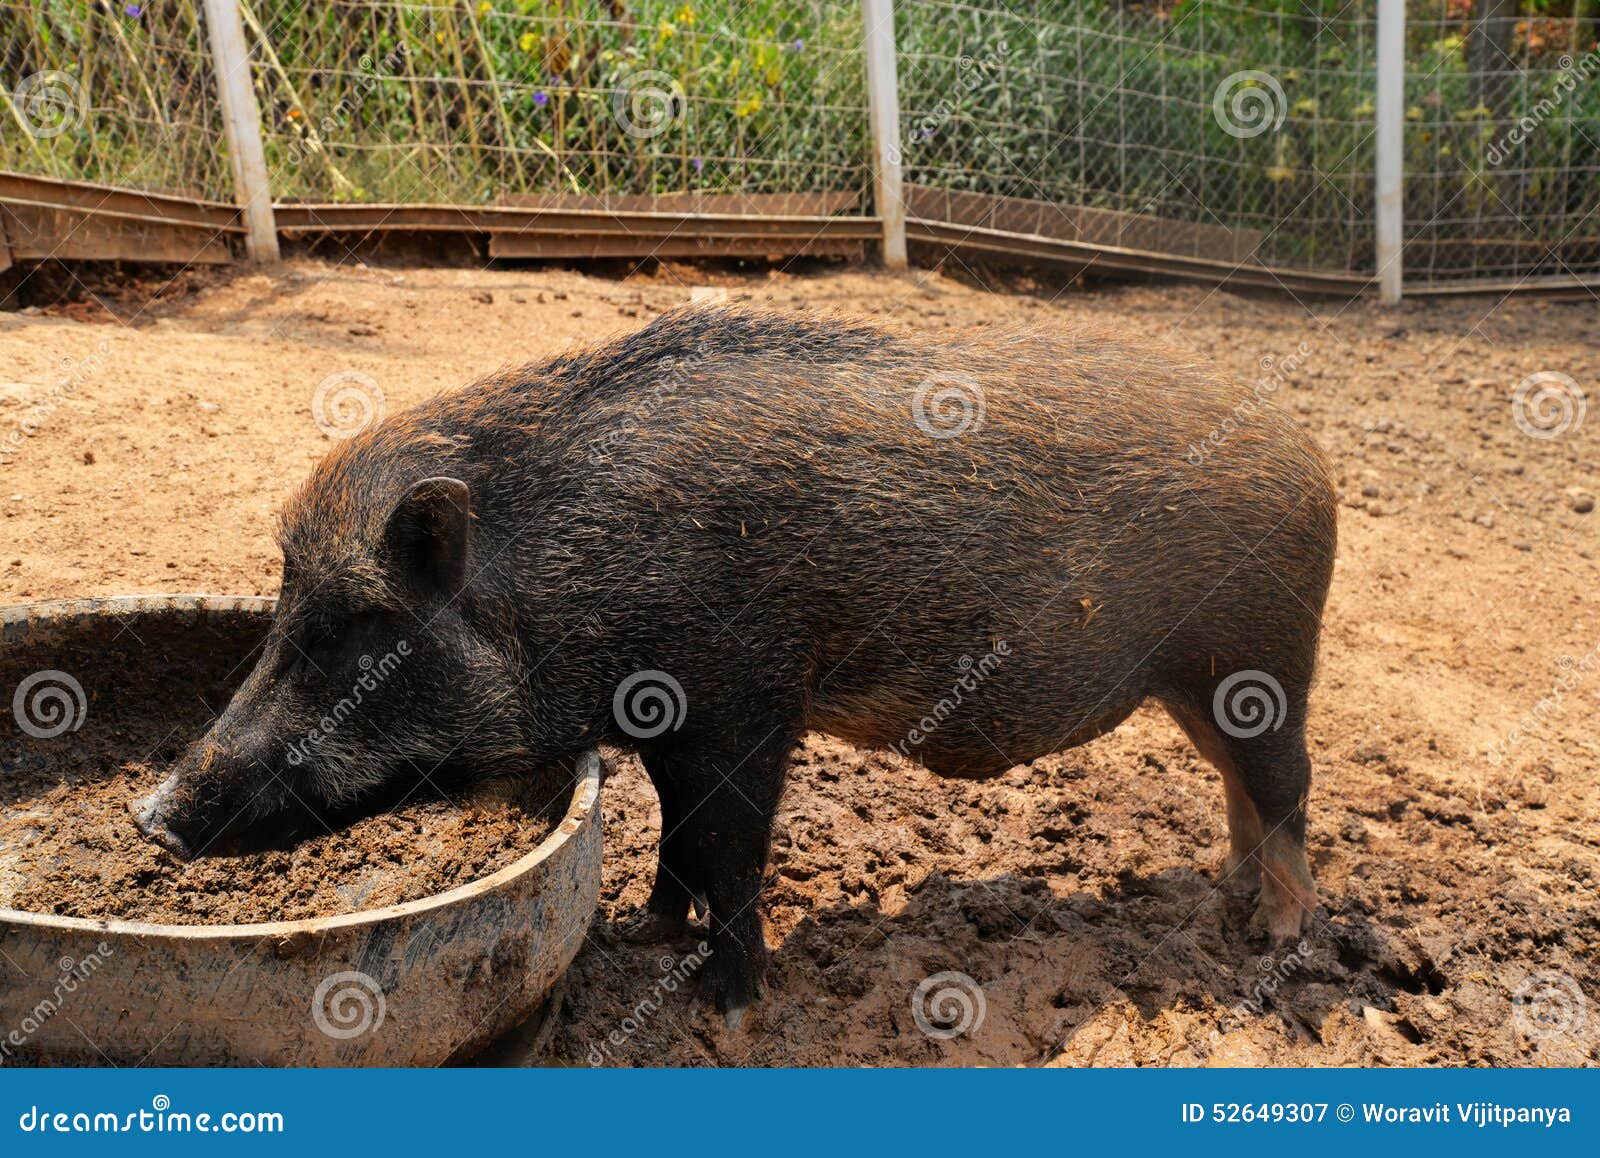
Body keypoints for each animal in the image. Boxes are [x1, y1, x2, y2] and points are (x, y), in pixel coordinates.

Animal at [136, 306, 1337, 1026]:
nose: (150, 817)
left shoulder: (747, 702)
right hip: (1197, 682)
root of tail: (1307, 450)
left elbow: (732, 845)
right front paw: (642, 932)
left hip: (1258, 658)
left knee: (1288, 784)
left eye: (358, 626)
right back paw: (1229, 903)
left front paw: (724, 1006)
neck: (557, 577)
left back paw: (1271, 941)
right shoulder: (667, 723)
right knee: (1237, 786)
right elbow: (677, 834)